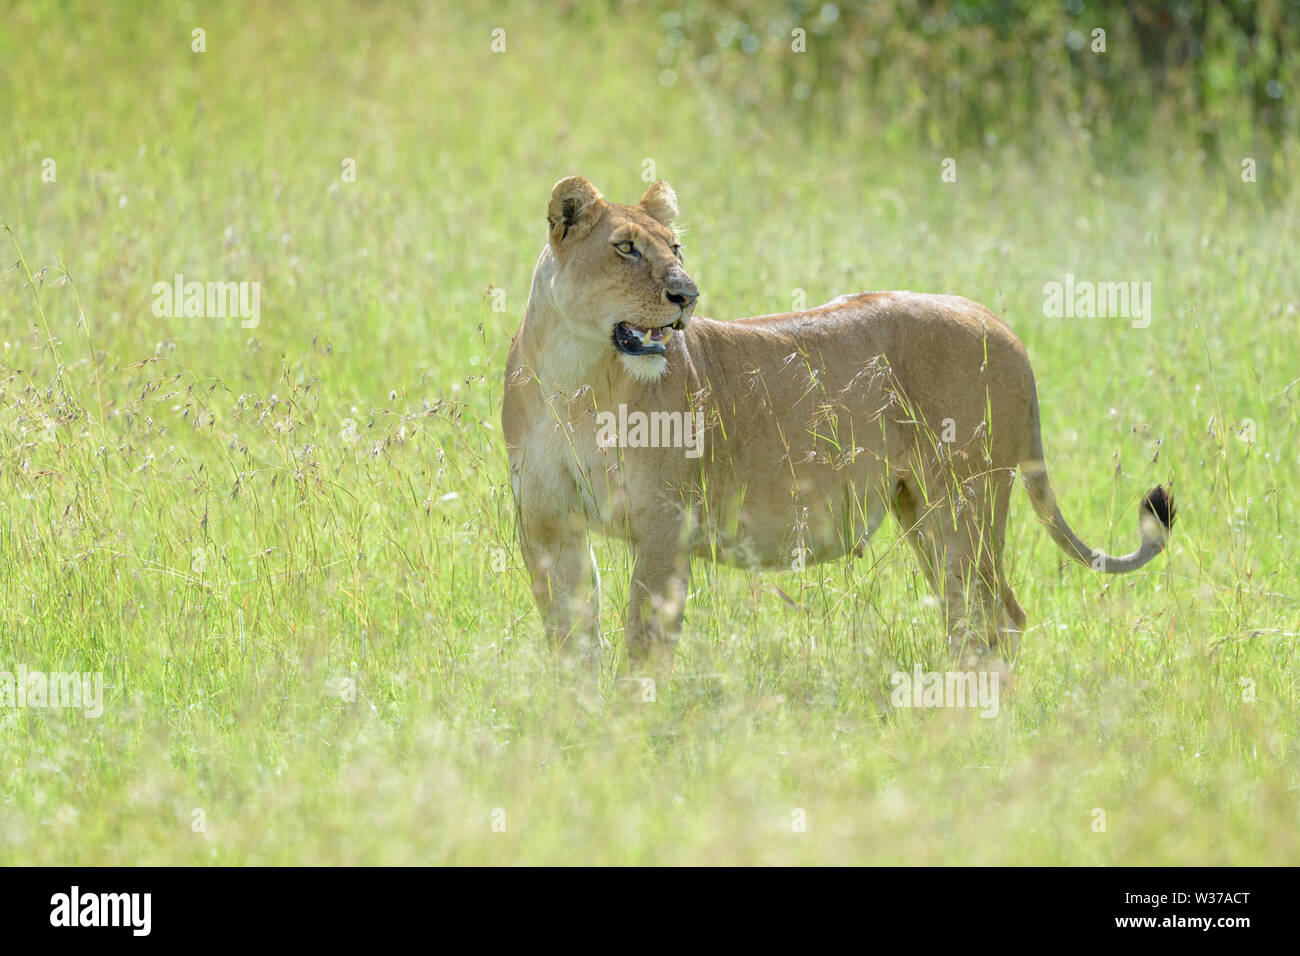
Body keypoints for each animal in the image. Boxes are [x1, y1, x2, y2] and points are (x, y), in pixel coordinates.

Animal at [502, 176, 1175, 679]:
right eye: (625, 248)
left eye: (676, 249)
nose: (686, 294)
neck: (578, 377)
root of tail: (995, 320)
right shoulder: (547, 524)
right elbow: (570, 637)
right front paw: (580, 717)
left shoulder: (667, 523)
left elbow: (642, 641)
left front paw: (634, 723)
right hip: (922, 511)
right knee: (971, 614)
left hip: (968, 501)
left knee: (998, 617)